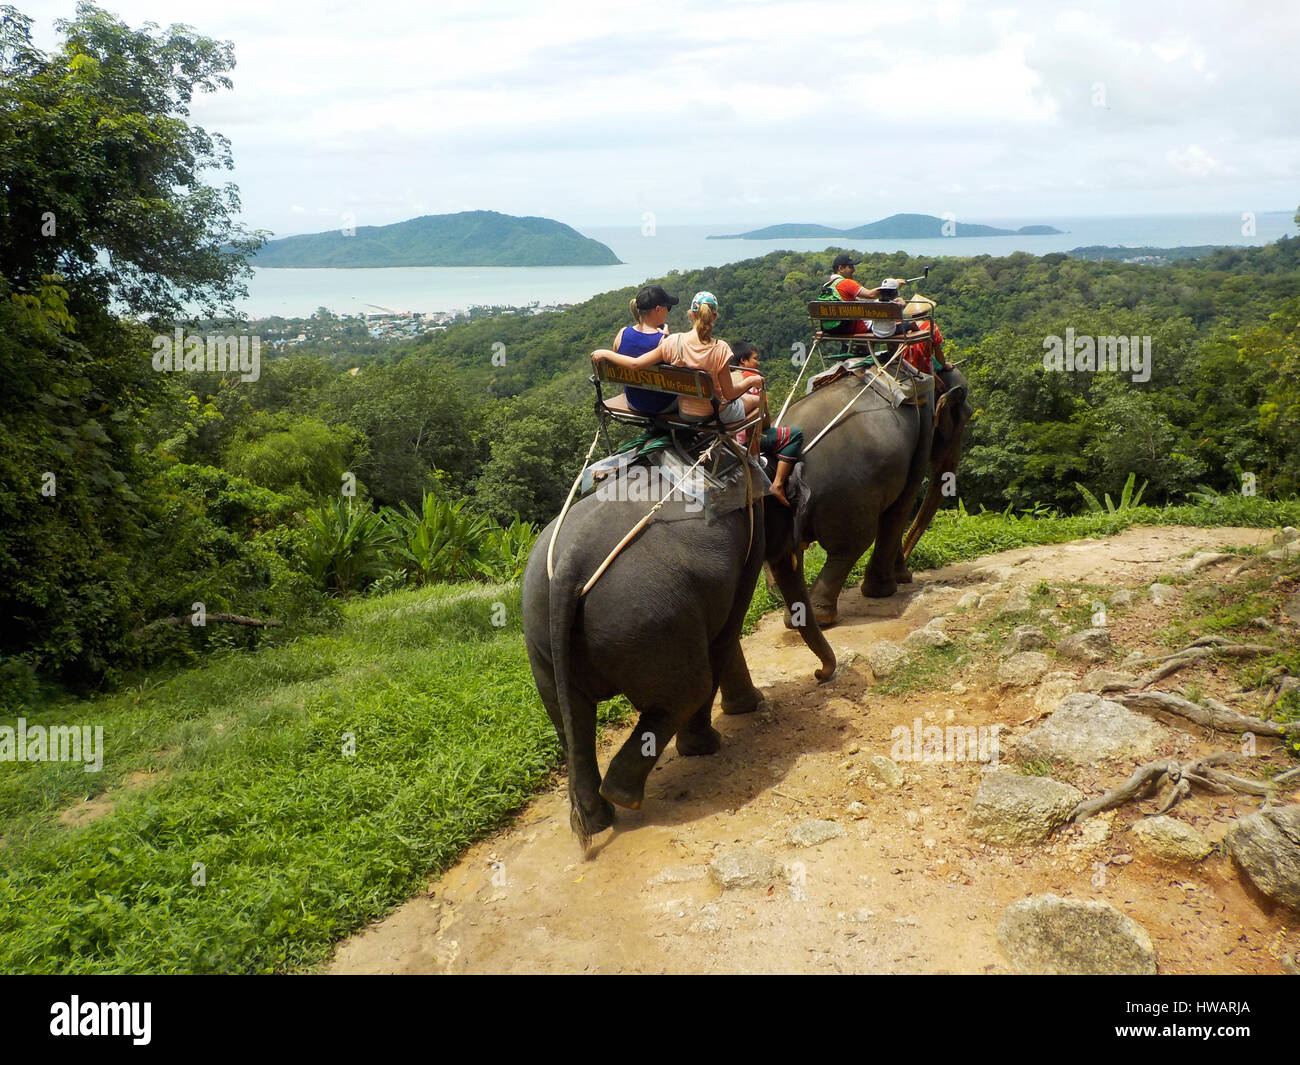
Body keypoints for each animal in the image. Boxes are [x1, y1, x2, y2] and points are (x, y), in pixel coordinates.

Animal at [522, 460, 836, 851]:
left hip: (541, 635)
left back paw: (597, 819)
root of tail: (570, 564)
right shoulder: (752, 538)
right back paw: (626, 793)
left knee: (571, 719)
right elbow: (729, 625)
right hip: (650, 619)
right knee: (688, 690)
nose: (820, 676)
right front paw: (718, 733)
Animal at [775, 364, 972, 627]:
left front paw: (901, 576)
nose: (909, 566)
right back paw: (821, 617)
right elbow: (902, 504)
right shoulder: (923, 429)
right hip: (846, 498)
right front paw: (889, 586)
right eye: (966, 417)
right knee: (850, 547)